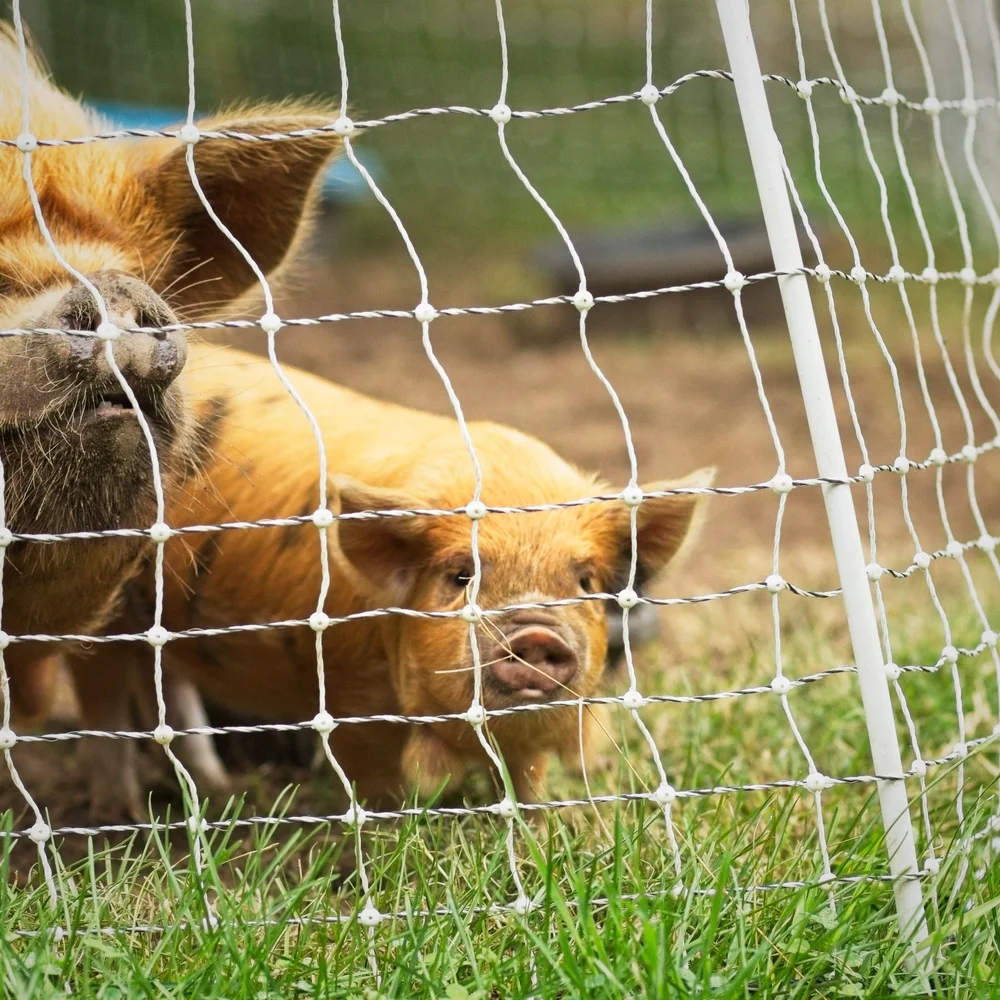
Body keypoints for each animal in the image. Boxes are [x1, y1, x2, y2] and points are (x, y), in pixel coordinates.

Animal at [74, 345, 712, 813]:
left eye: (584, 582)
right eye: (460, 575)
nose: (535, 632)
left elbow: (527, 783)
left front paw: (545, 835)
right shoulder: (352, 703)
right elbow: (379, 790)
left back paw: (224, 792)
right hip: (101, 615)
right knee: (102, 709)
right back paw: (124, 816)